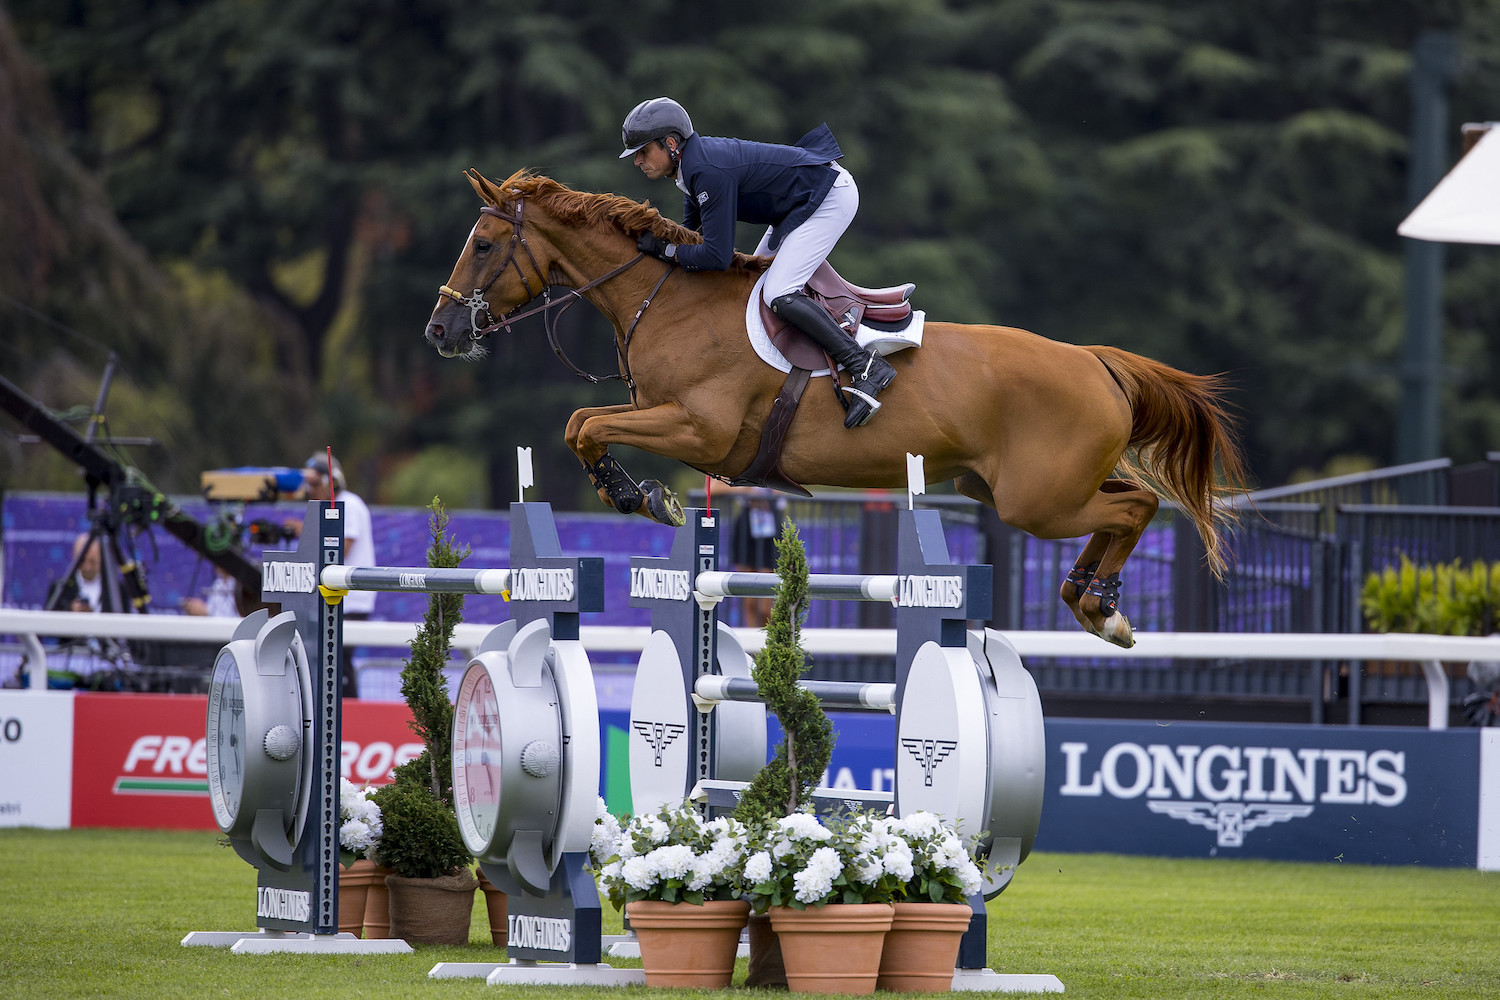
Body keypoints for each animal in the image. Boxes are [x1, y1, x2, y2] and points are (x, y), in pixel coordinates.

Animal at [424, 169, 1249, 648]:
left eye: (486, 244)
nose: (440, 332)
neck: (668, 300)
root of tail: (1093, 361)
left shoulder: (700, 431)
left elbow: (585, 425)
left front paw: (641, 497)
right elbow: (580, 425)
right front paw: (638, 494)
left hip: (1036, 500)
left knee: (1133, 507)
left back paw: (1101, 607)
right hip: (1007, 487)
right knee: (1127, 502)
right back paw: (1089, 599)